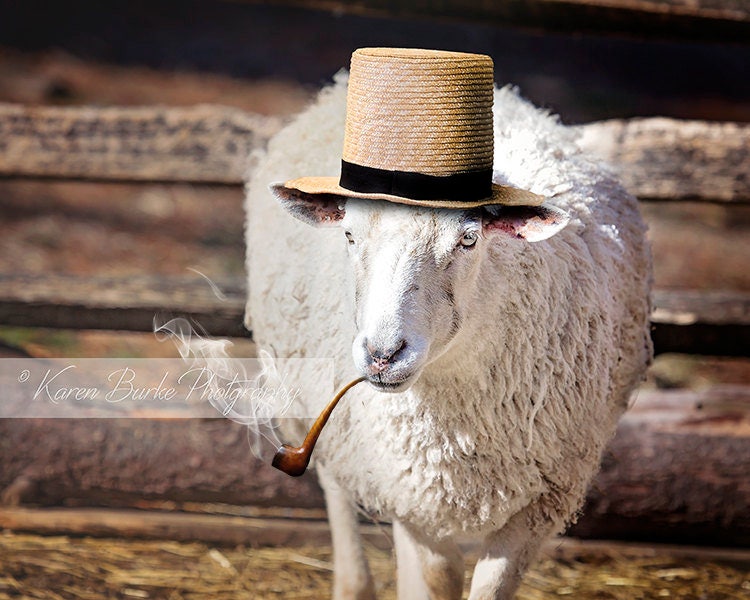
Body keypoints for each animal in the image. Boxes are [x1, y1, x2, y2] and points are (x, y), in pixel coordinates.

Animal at [244, 71, 652, 599]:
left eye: (469, 238)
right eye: (349, 235)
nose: (383, 354)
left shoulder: (540, 500)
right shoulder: (412, 495)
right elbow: (434, 578)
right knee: (333, 483)